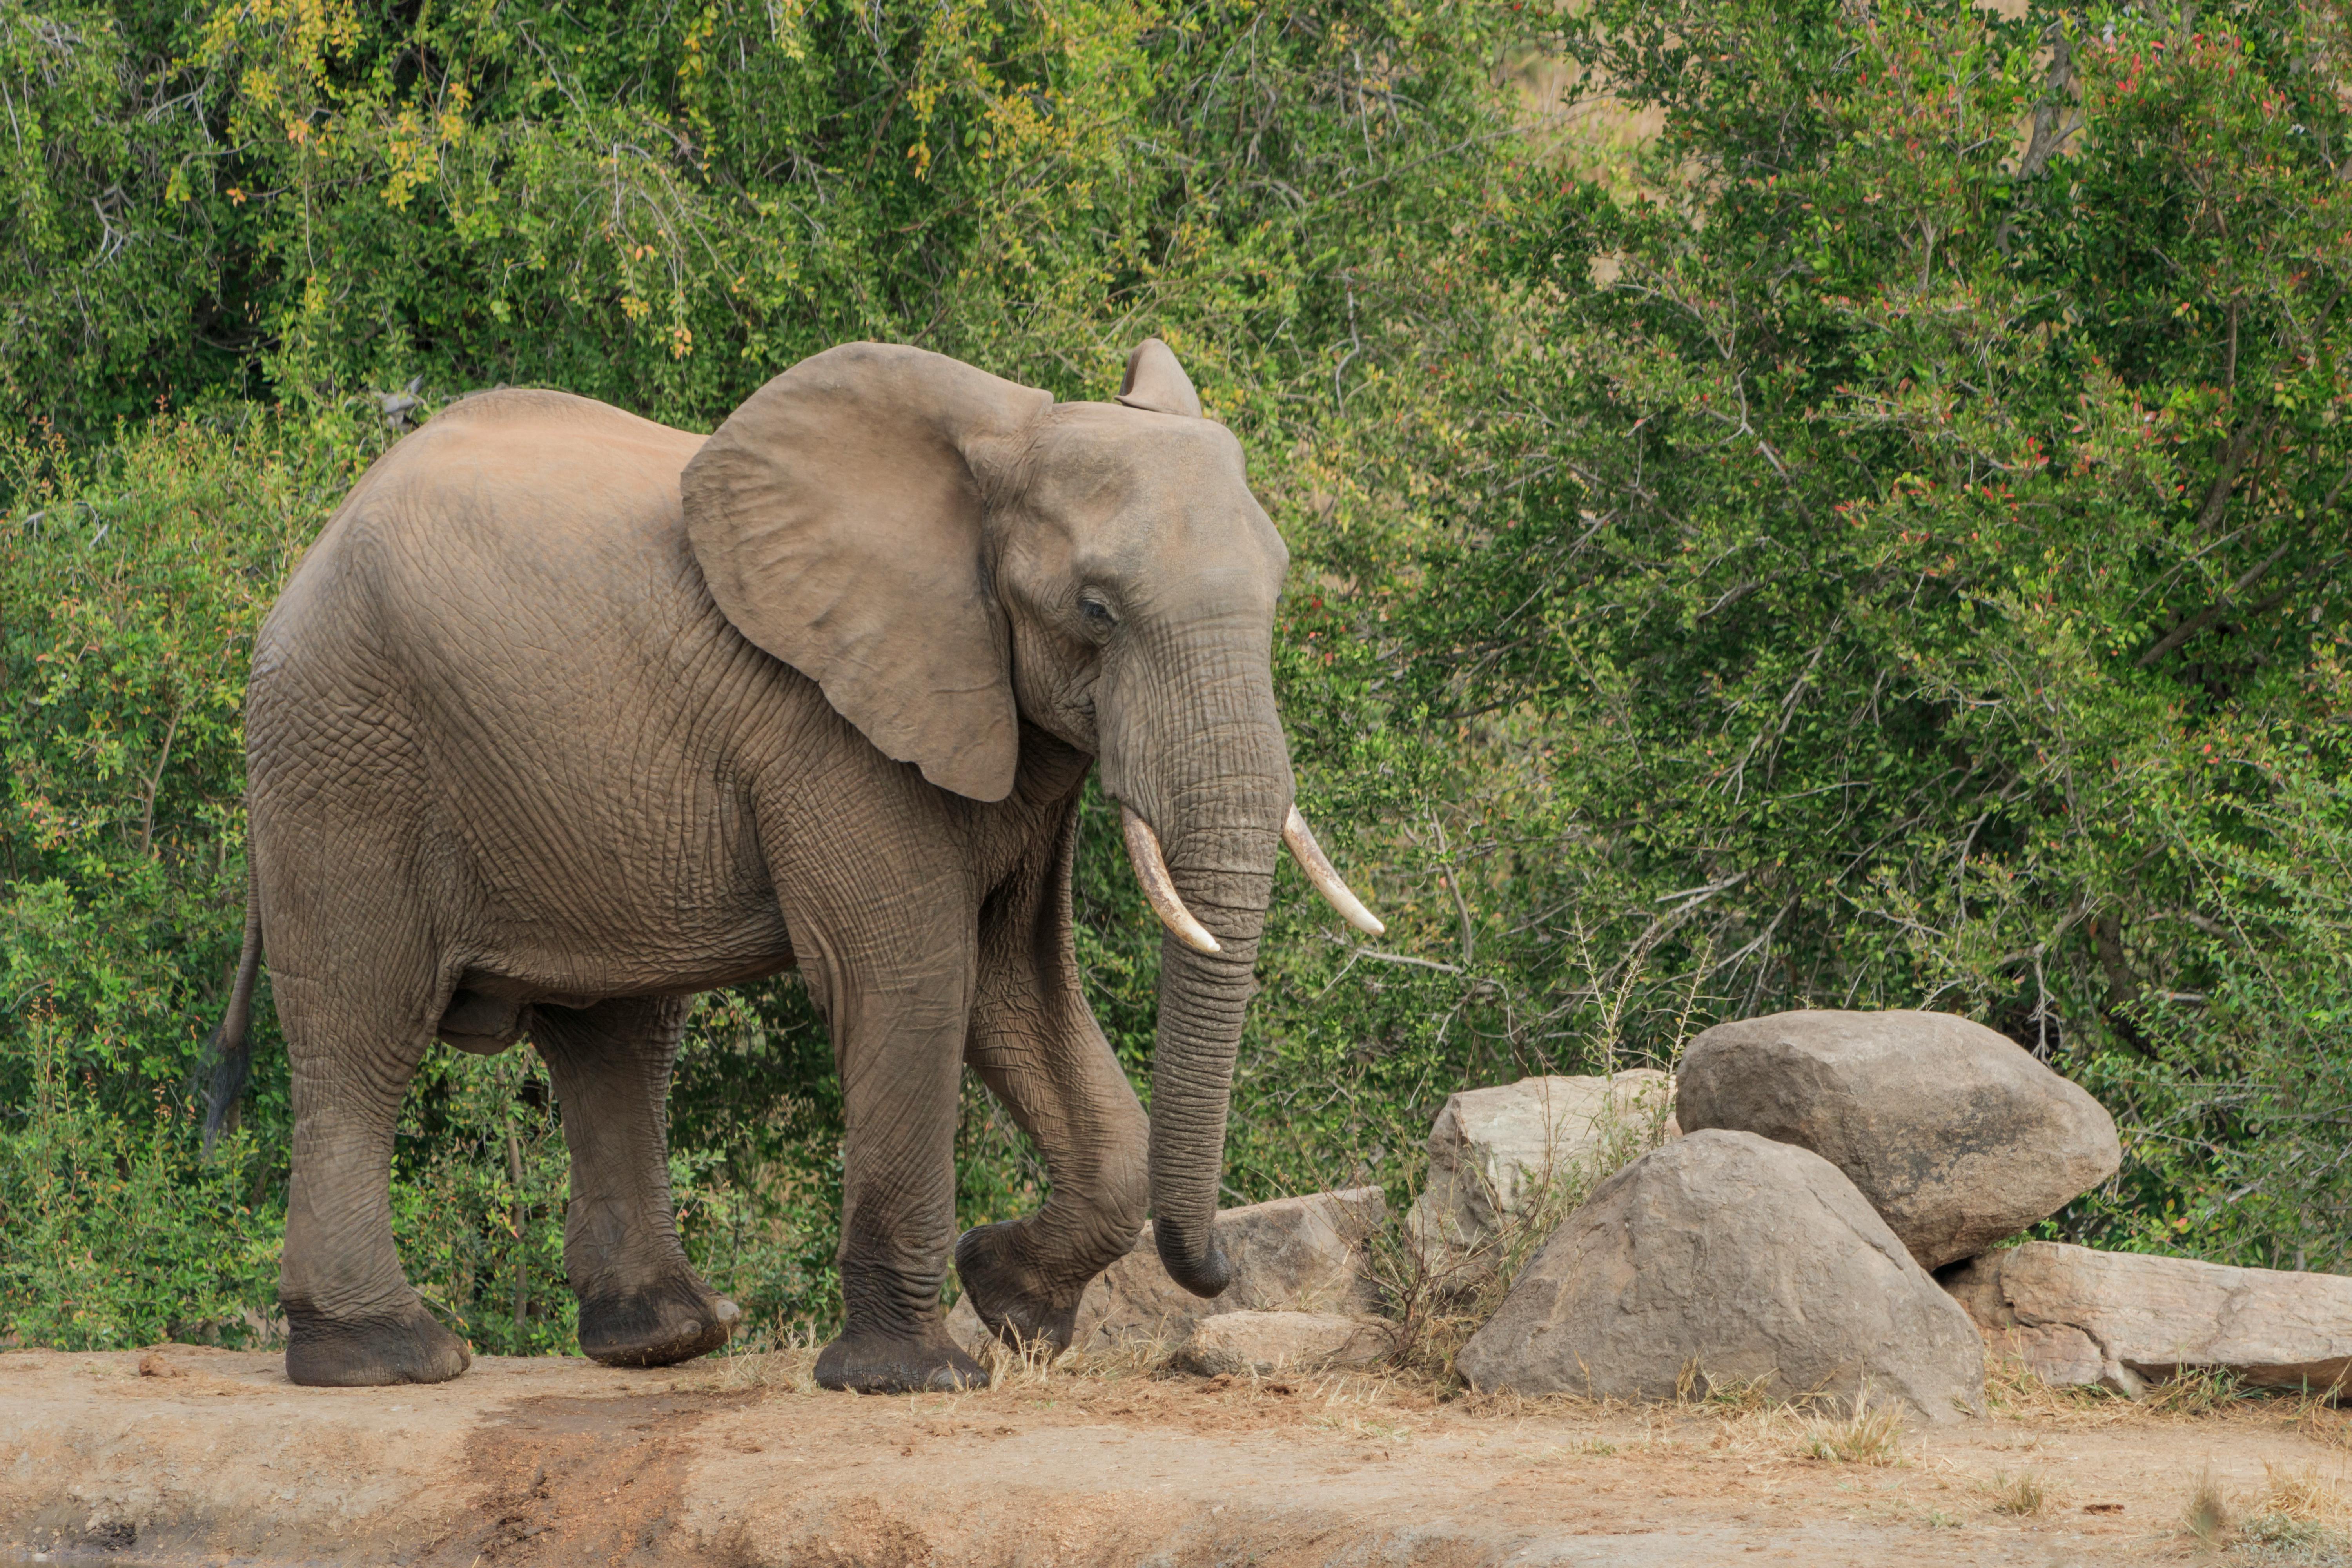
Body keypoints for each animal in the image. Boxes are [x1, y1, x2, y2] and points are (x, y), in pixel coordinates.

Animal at [201, 338, 1383, 1392]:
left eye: (1280, 593)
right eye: (1096, 608)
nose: (1218, 1268)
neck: (1000, 442)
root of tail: (312, 552)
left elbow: (1021, 985)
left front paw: (1015, 1311)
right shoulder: (837, 724)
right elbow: (915, 978)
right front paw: (919, 1377)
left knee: (614, 1039)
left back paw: (669, 1338)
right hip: (344, 756)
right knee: (365, 1026)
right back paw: (391, 1355)